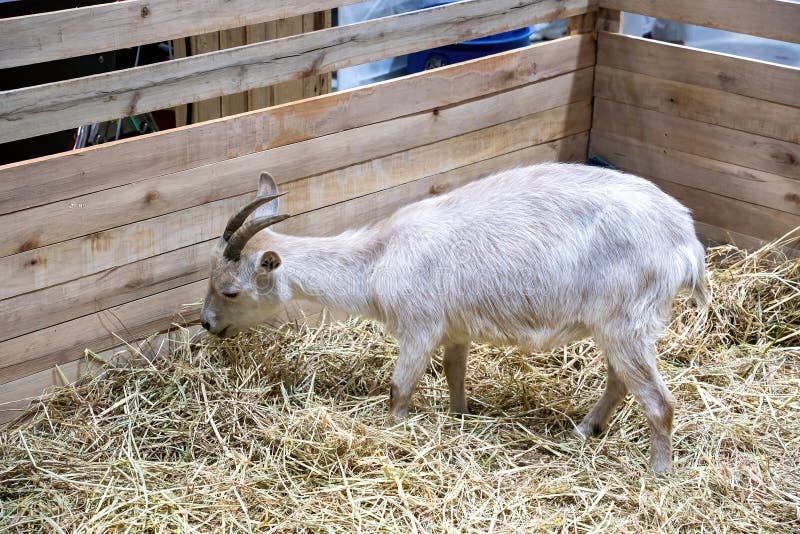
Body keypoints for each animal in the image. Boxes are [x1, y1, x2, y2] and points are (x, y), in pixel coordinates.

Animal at [201, 163, 709, 474]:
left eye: (230, 290)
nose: (207, 323)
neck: (379, 257)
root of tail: (686, 240)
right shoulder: (454, 329)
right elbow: (454, 372)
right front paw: (460, 417)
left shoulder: (419, 327)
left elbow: (400, 387)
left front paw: (392, 436)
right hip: (619, 328)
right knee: (620, 381)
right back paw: (585, 429)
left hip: (626, 323)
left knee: (659, 401)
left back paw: (658, 473)